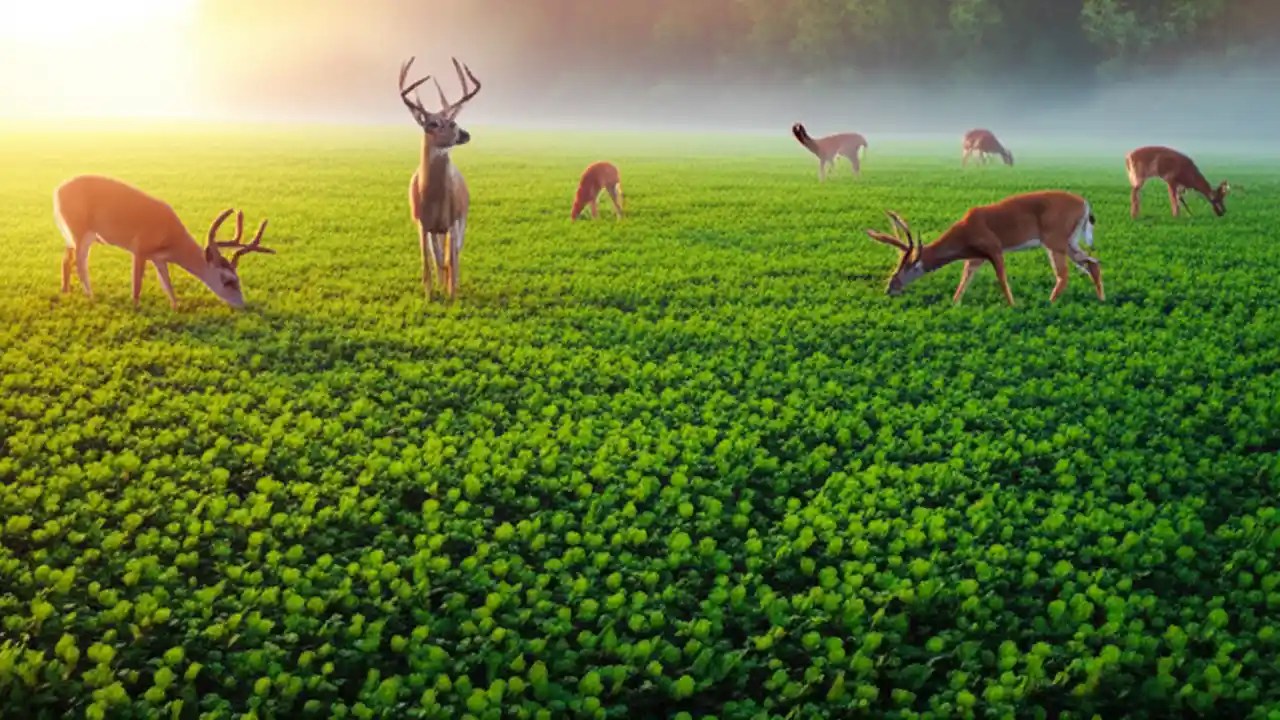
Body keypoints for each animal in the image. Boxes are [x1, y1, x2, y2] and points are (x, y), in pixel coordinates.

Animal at [52, 174, 273, 310]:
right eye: (228, 280)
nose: (242, 305)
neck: (171, 238)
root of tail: (57, 191)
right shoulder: (139, 249)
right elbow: (137, 285)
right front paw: (136, 307)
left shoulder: (159, 258)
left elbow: (167, 284)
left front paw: (176, 308)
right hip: (81, 231)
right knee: (80, 262)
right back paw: (91, 296)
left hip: (71, 234)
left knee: (66, 259)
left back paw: (65, 290)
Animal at [398, 55, 481, 300]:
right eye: (433, 124)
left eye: (453, 122)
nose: (465, 134)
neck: (433, 198)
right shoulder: (422, 223)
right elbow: (428, 261)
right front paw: (429, 295)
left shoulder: (453, 221)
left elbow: (450, 258)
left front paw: (451, 295)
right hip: (436, 229)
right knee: (438, 257)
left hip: (461, 219)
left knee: (453, 255)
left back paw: (453, 286)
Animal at [864, 191, 1103, 306]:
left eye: (905, 270)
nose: (889, 289)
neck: (965, 234)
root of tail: (1085, 204)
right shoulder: (976, 257)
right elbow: (965, 278)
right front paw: (954, 304)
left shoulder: (994, 247)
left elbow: (1002, 279)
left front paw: (1013, 306)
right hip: (1068, 241)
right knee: (1093, 263)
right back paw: (1101, 299)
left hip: (1055, 240)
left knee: (1064, 274)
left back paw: (1048, 303)